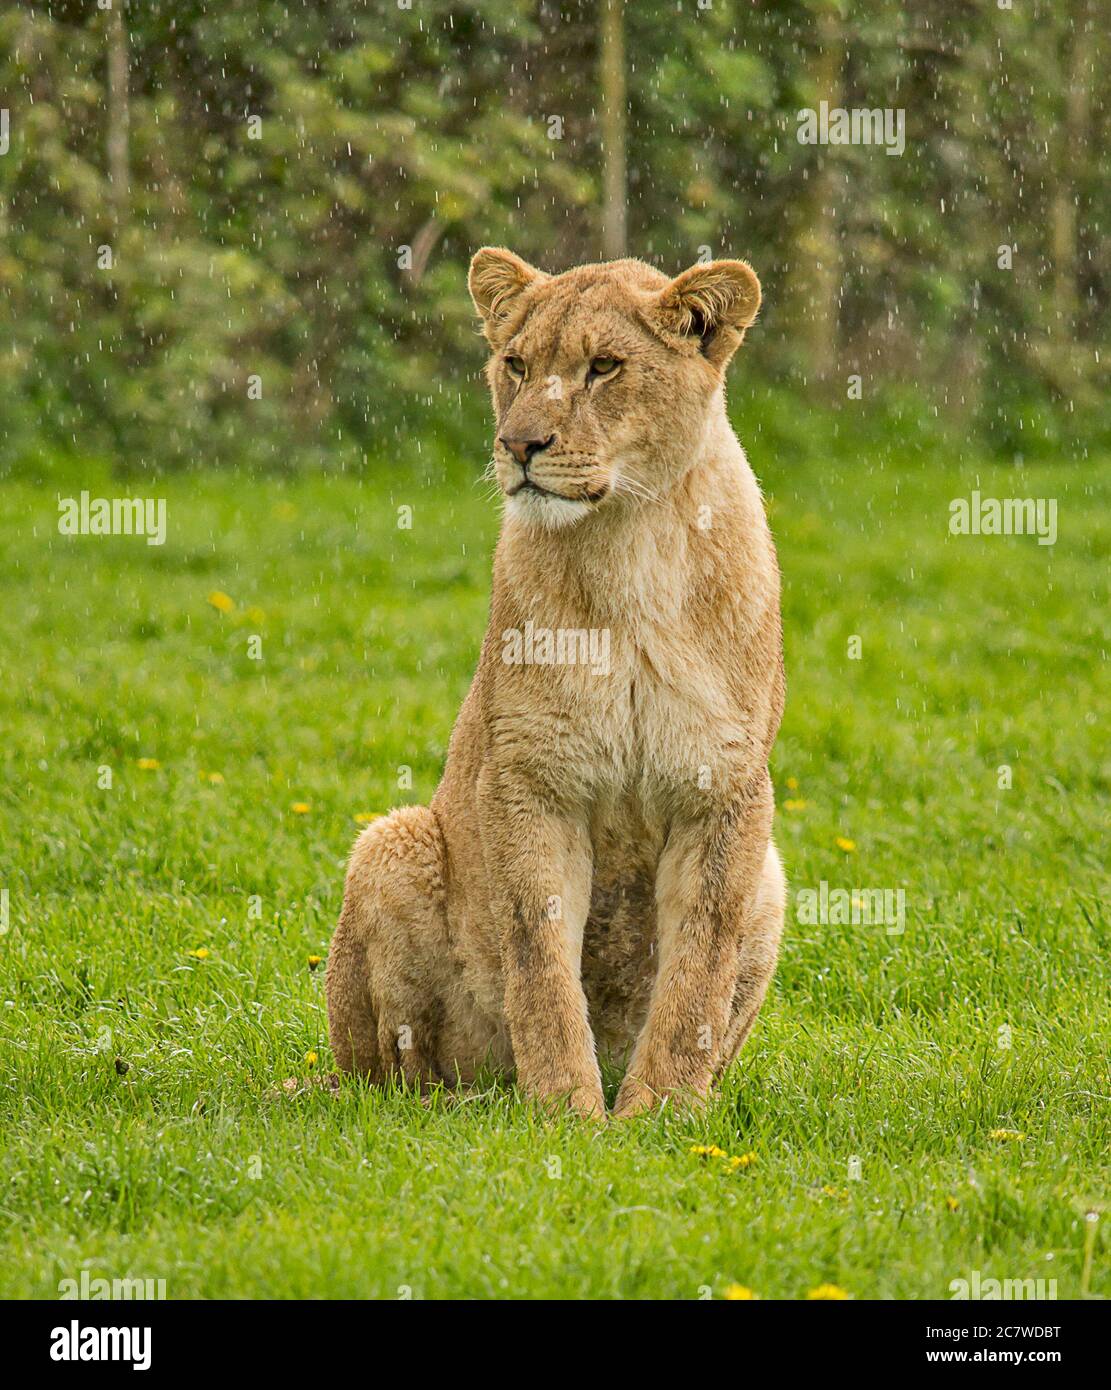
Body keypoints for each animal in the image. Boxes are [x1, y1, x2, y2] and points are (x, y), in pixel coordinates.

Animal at [326, 248, 786, 1119]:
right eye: (515, 364)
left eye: (603, 368)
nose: (518, 444)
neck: (629, 543)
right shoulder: (530, 781)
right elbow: (538, 958)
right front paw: (567, 1113)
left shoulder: (723, 790)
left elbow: (698, 974)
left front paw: (661, 1114)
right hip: (391, 842)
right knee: (395, 1080)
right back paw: (463, 1108)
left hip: (773, 881)